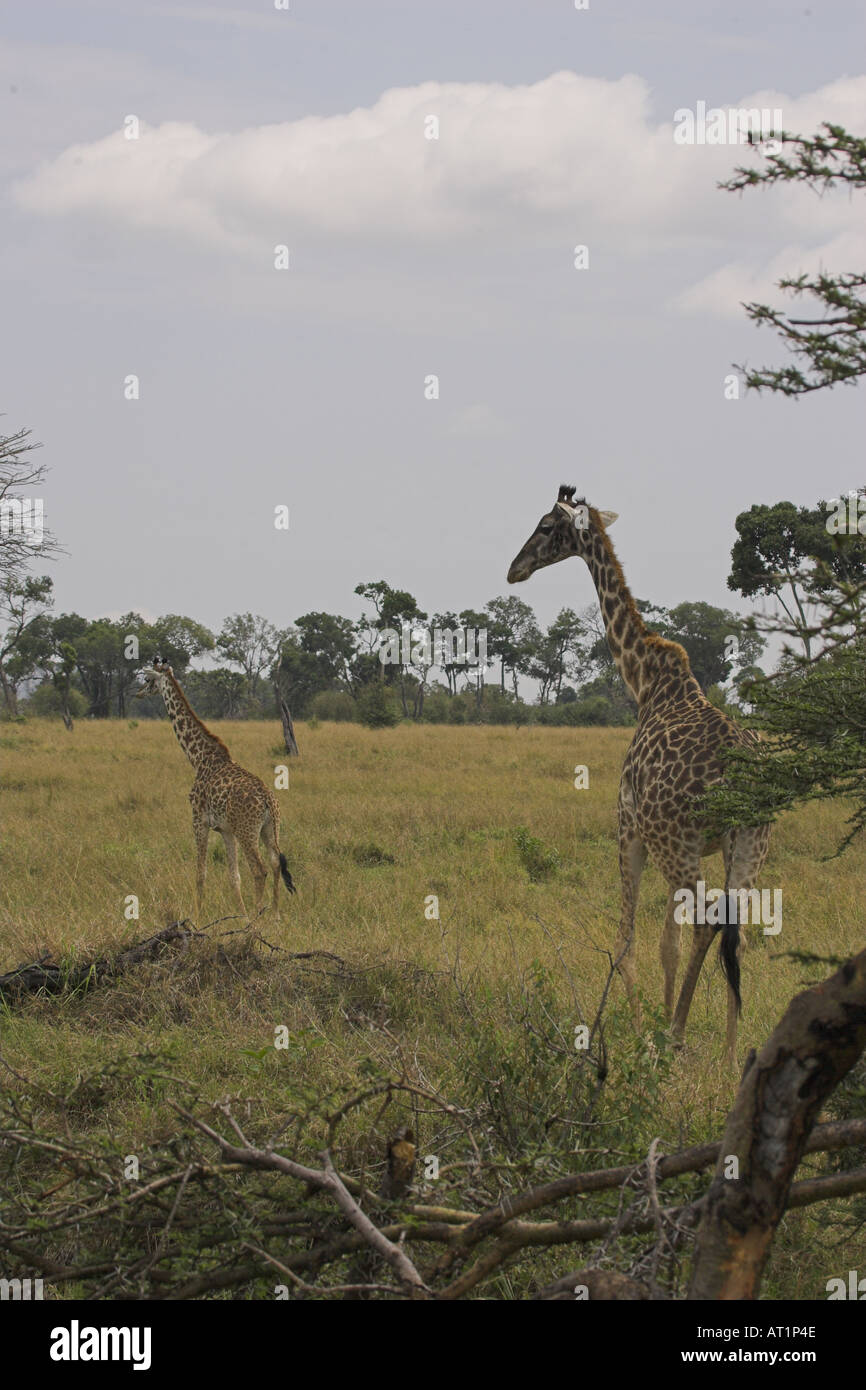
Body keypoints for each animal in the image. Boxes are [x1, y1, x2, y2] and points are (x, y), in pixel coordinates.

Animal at [135, 659, 296, 919]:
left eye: (148, 679)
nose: (138, 692)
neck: (199, 757)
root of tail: (268, 801)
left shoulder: (199, 820)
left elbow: (201, 874)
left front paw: (197, 916)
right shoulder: (225, 830)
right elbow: (234, 876)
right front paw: (241, 915)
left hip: (247, 831)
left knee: (259, 869)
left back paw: (258, 916)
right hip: (271, 828)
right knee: (274, 863)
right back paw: (275, 914)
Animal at [507, 486, 770, 1065]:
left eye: (545, 526)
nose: (514, 569)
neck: (644, 680)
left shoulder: (629, 826)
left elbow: (628, 941)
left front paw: (637, 1031)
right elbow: (666, 943)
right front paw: (657, 1018)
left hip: (678, 843)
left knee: (707, 922)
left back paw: (675, 1035)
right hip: (747, 847)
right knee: (734, 932)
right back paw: (729, 1053)